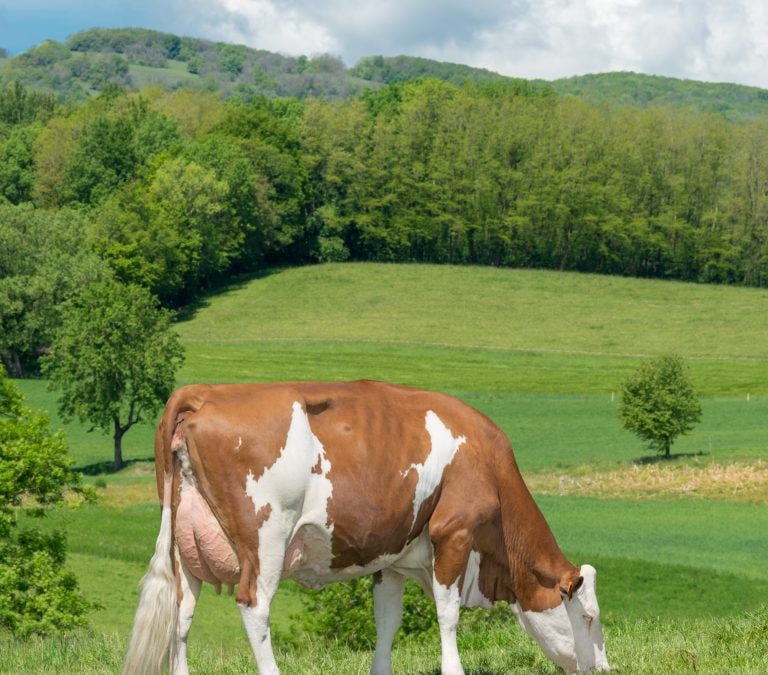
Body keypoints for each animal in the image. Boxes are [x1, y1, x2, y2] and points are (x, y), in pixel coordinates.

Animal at [123, 380, 609, 675]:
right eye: (588, 617)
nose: (606, 669)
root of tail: (204, 392)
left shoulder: (392, 558)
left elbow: (387, 620)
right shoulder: (453, 535)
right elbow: (448, 615)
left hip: (184, 547)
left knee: (181, 614)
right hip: (266, 539)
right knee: (254, 607)